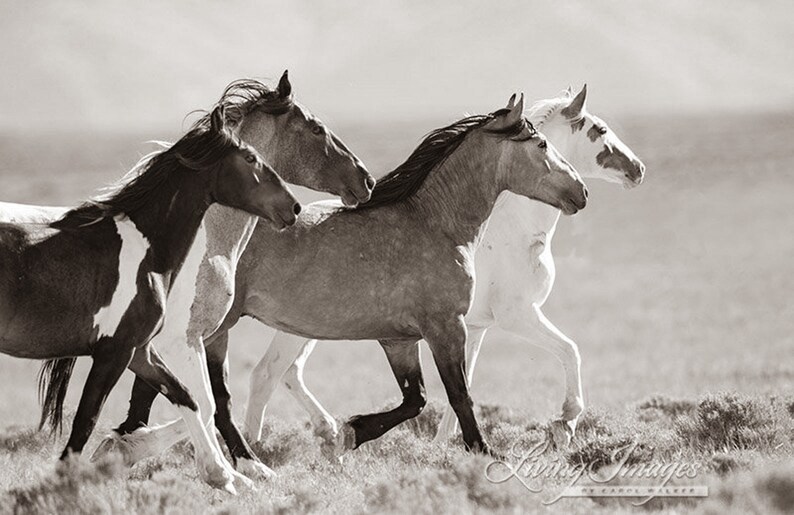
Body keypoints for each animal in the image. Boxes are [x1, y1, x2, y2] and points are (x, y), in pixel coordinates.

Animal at [4, 71, 375, 492]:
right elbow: (201, 403)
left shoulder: (203, 337)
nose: (366, 180)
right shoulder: (178, 339)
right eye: (316, 128)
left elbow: (208, 401)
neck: (201, 245)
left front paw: (242, 466)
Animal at [98, 93, 588, 465]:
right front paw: (486, 452)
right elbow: (459, 395)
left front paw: (349, 433)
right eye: (541, 144)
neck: (435, 223)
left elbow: (416, 399)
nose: (581, 192)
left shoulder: (399, 339)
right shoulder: (446, 327)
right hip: (215, 324)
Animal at [229, 85, 647, 452]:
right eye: (599, 130)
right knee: (266, 375)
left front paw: (407, 438)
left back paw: (320, 434)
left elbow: (443, 392)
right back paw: (257, 448)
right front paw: (550, 429)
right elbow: (556, 356)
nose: (637, 170)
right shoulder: (498, 318)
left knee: (283, 374)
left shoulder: (442, 332)